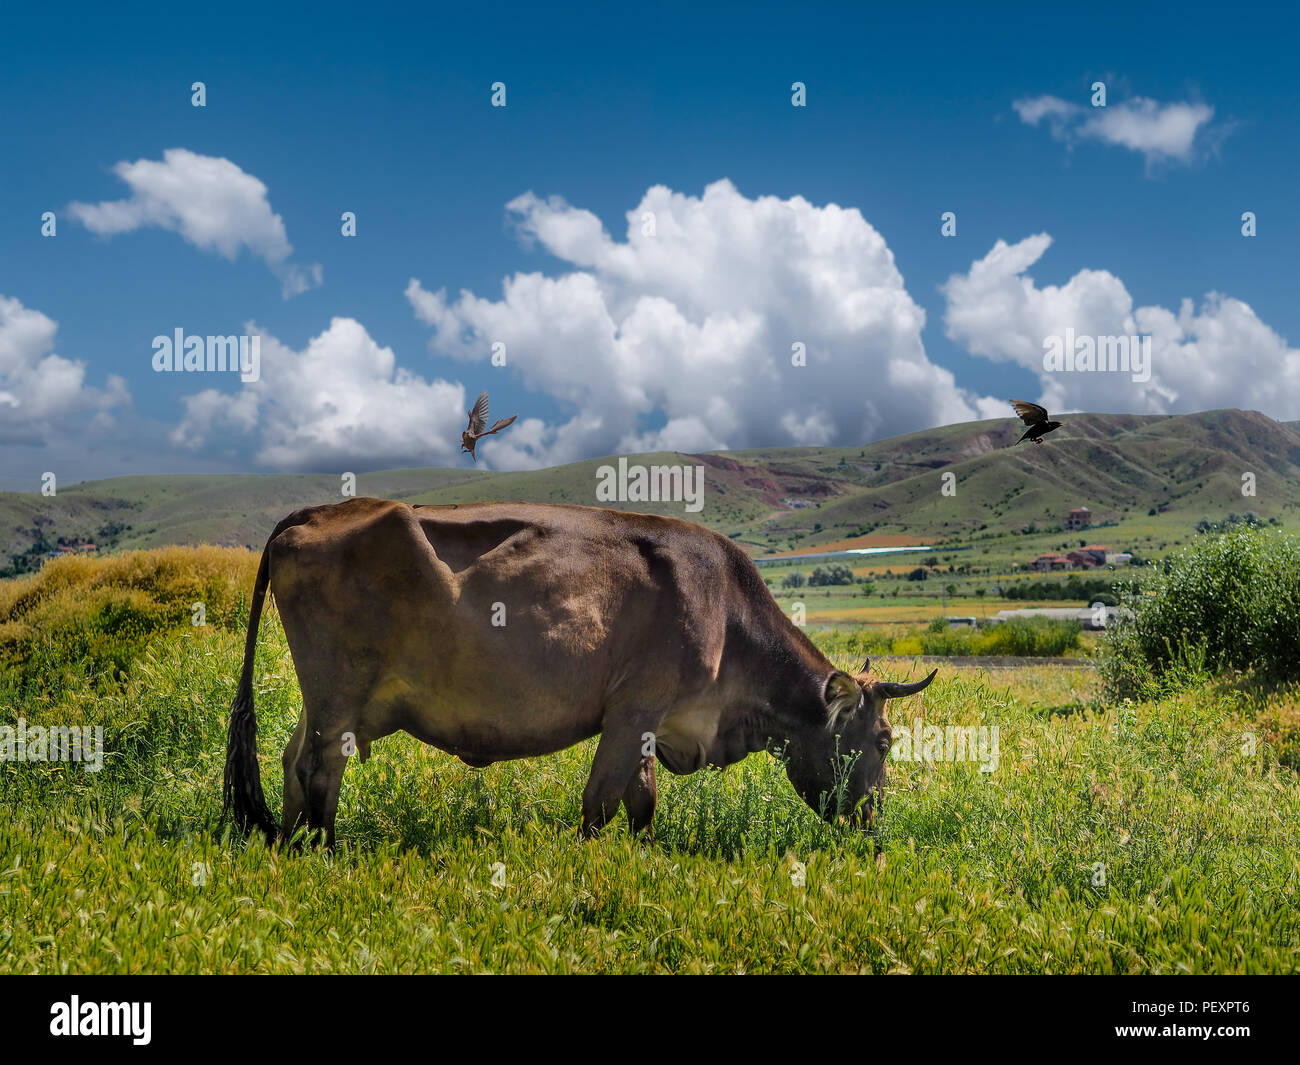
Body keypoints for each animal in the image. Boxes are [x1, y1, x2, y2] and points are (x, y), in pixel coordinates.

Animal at [224, 498, 936, 845]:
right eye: (883, 741)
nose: (874, 831)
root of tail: (317, 512)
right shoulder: (633, 709)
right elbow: (600, 802)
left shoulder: (654, 721)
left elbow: (642, 802)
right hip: (340, 697)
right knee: (320, 770)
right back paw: (326, 852)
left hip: (328, 703)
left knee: (292, 760)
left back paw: (290, 845)